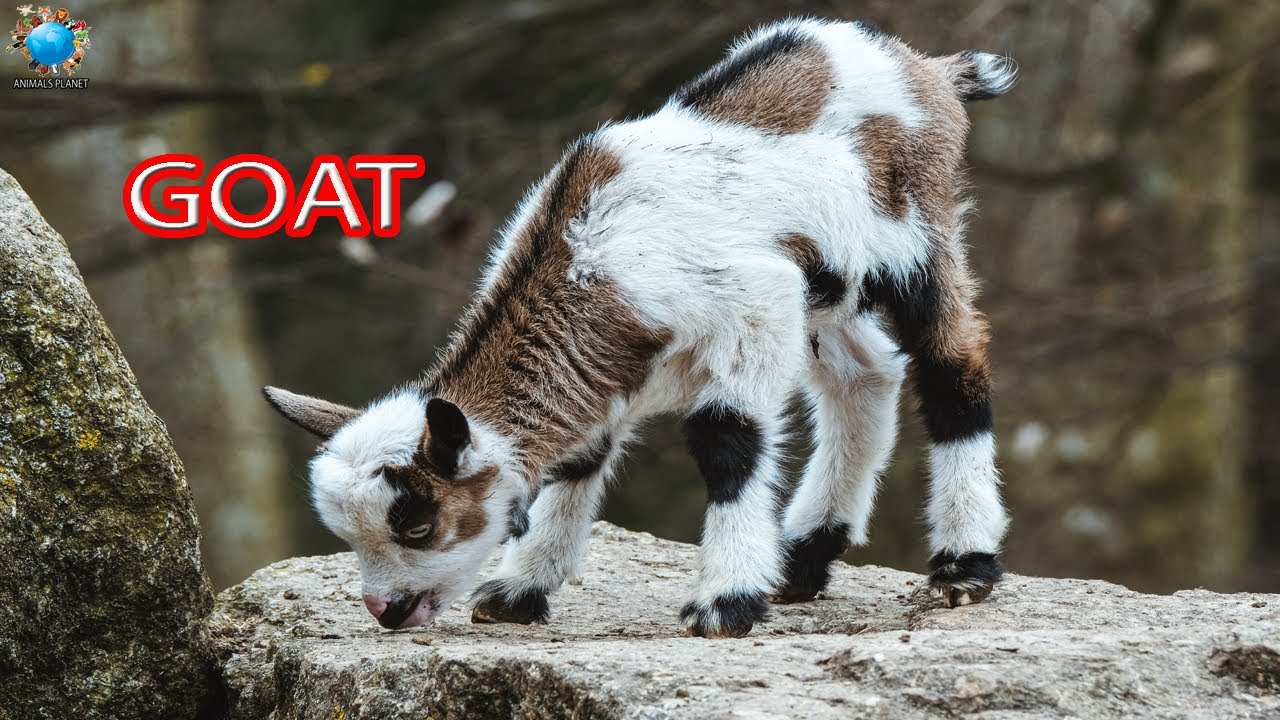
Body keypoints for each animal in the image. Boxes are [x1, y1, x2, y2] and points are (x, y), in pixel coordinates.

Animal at [265, 17, 1015, 638]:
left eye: (419, 525)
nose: (387, 609)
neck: (588, 260)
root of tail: (926, 67)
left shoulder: (755, 303)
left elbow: (727, 442)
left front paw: (724, 604)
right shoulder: (624, 367)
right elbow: (580, 455)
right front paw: (517, 592)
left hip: (919, 228)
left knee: (951, 362)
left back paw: (964, 566)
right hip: (828, 298)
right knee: (866, 376)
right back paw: (801, 563)